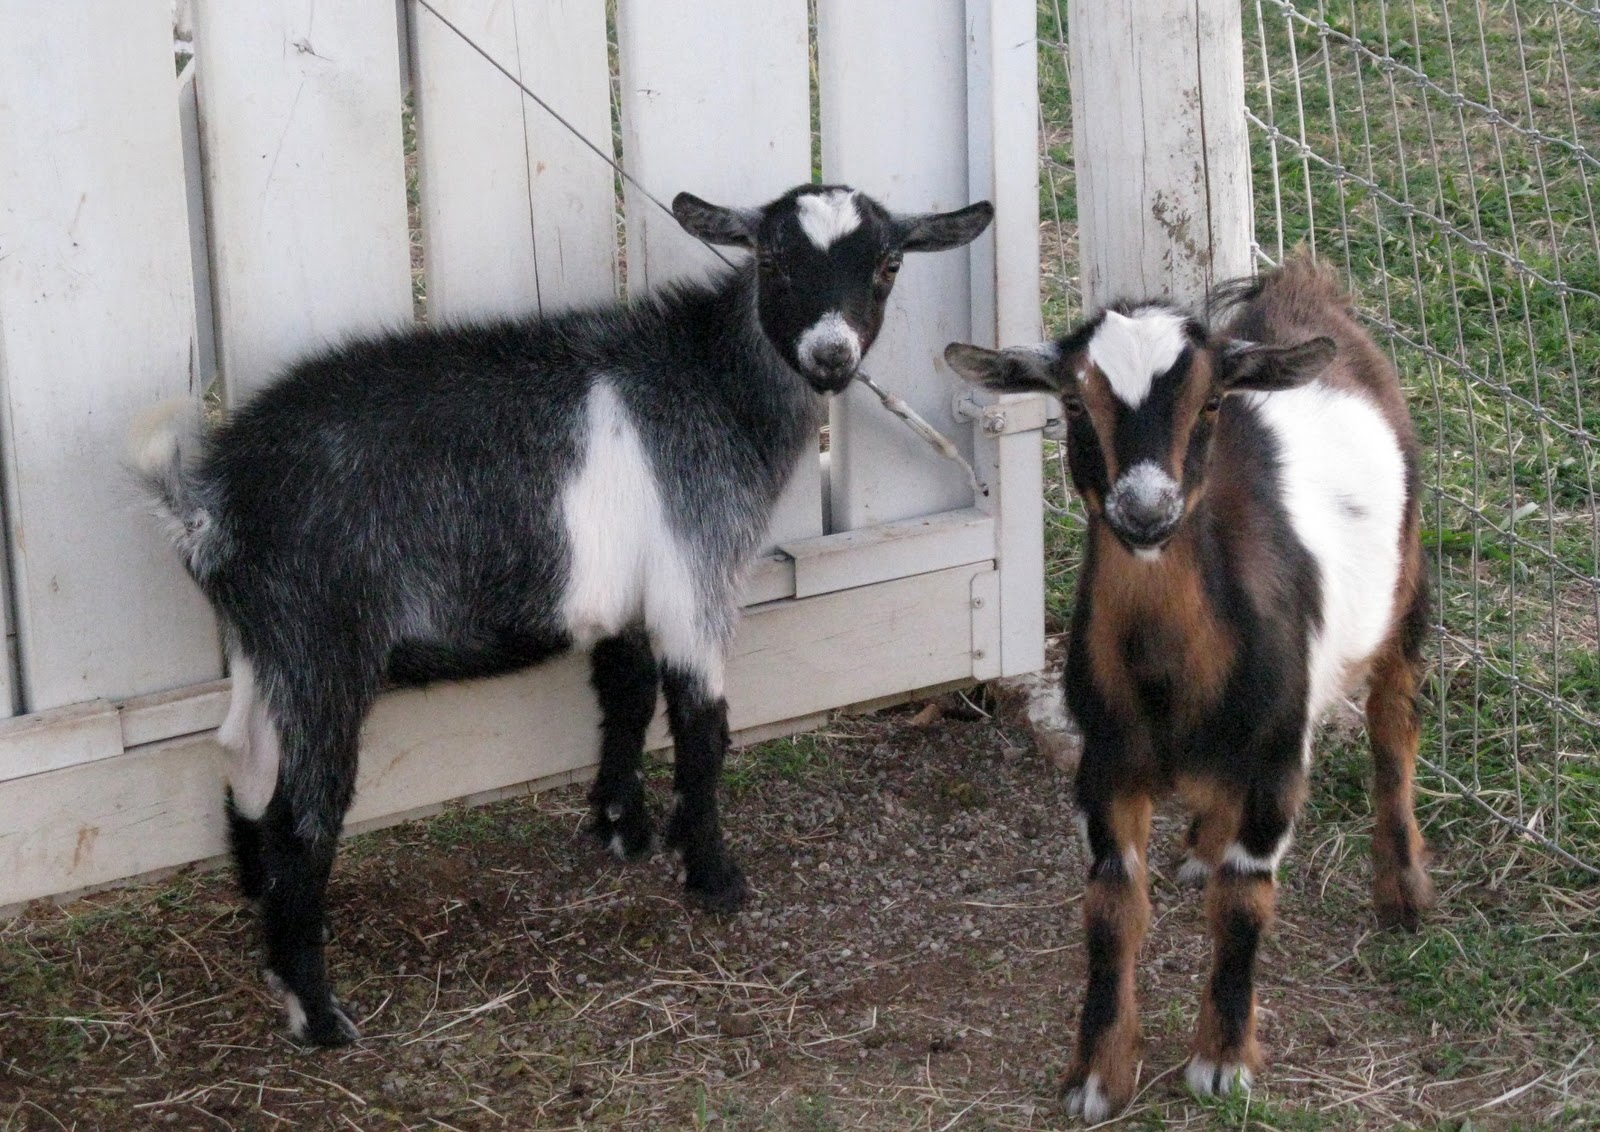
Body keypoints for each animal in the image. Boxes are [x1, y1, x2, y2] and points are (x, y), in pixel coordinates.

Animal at [130, 184, 993, 1046]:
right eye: (774, 261)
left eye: (887, 265)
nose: (831, 355)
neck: (710, 380)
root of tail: (210, 502)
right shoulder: (695, 577)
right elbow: (702, 725)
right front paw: (713, 874)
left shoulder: (627, 593)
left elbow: (626, 695)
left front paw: (623, 827)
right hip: (322, 641)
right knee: (305, 809)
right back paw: (314, 1007)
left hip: (266, 640)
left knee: (242, 751)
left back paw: (261, 894)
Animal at [944, 259, 1432, 1120]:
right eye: (1074, 402)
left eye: (1209, 402)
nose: (1146, 511)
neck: (1167, 676)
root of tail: (1302, 289)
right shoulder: (1104, 763)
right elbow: (1112, 907)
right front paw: (1097, 1075)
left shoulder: (1277, 758)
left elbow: (1244, 900)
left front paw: (1223, 1061)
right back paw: (1203, 842)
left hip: (1405, 581)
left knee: (1393, 720)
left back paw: (1402, 890)